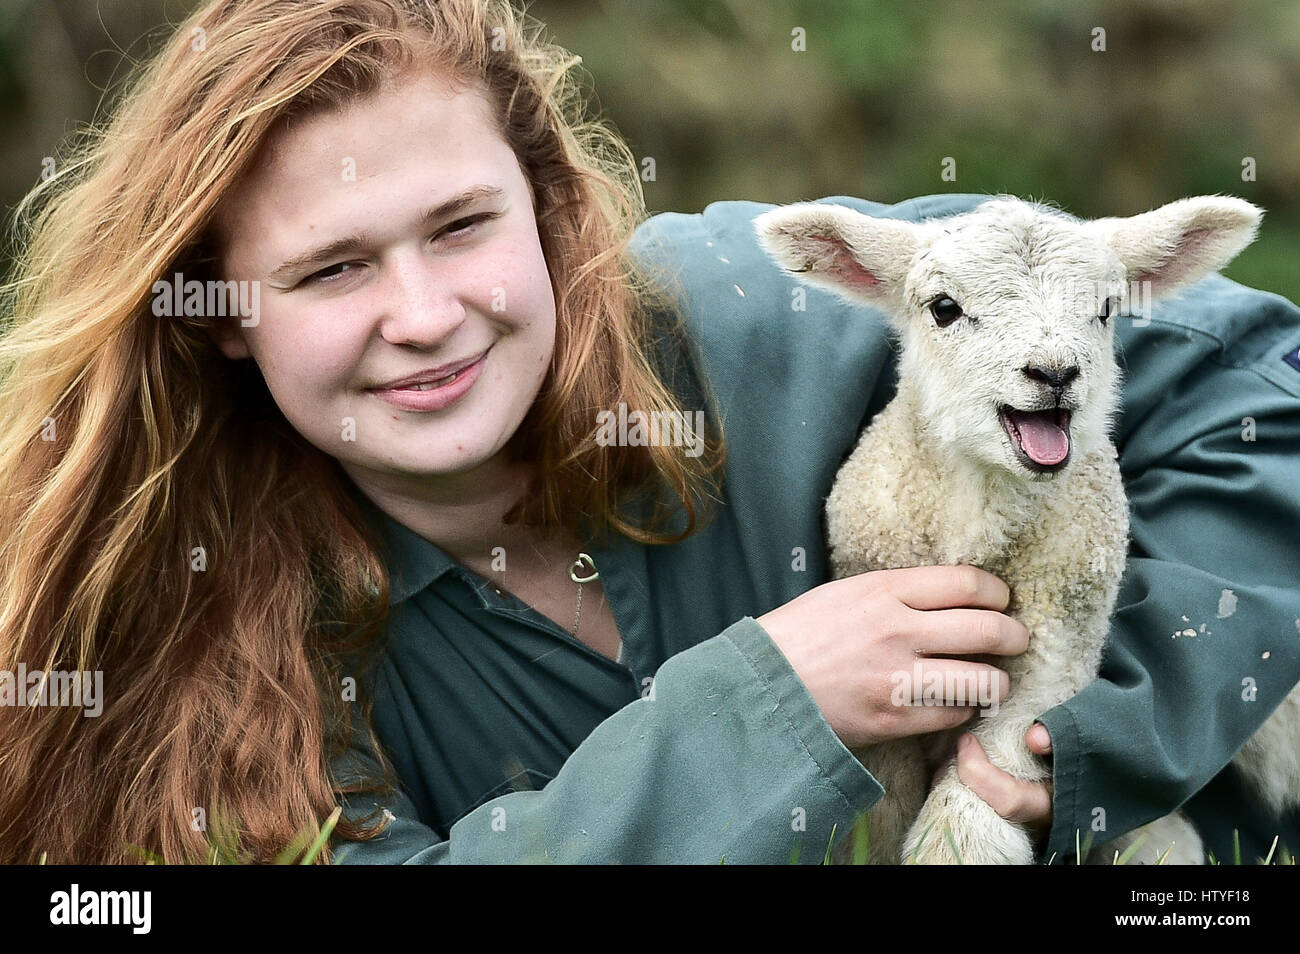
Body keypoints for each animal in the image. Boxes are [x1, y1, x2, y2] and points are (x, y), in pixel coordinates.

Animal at [753, 194, 1296, 864]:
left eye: (1106, 308)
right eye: (944, 308)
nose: (1055, 373)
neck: (979, 509)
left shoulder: (1059, 642)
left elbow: (968, 820)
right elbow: (879, 817)